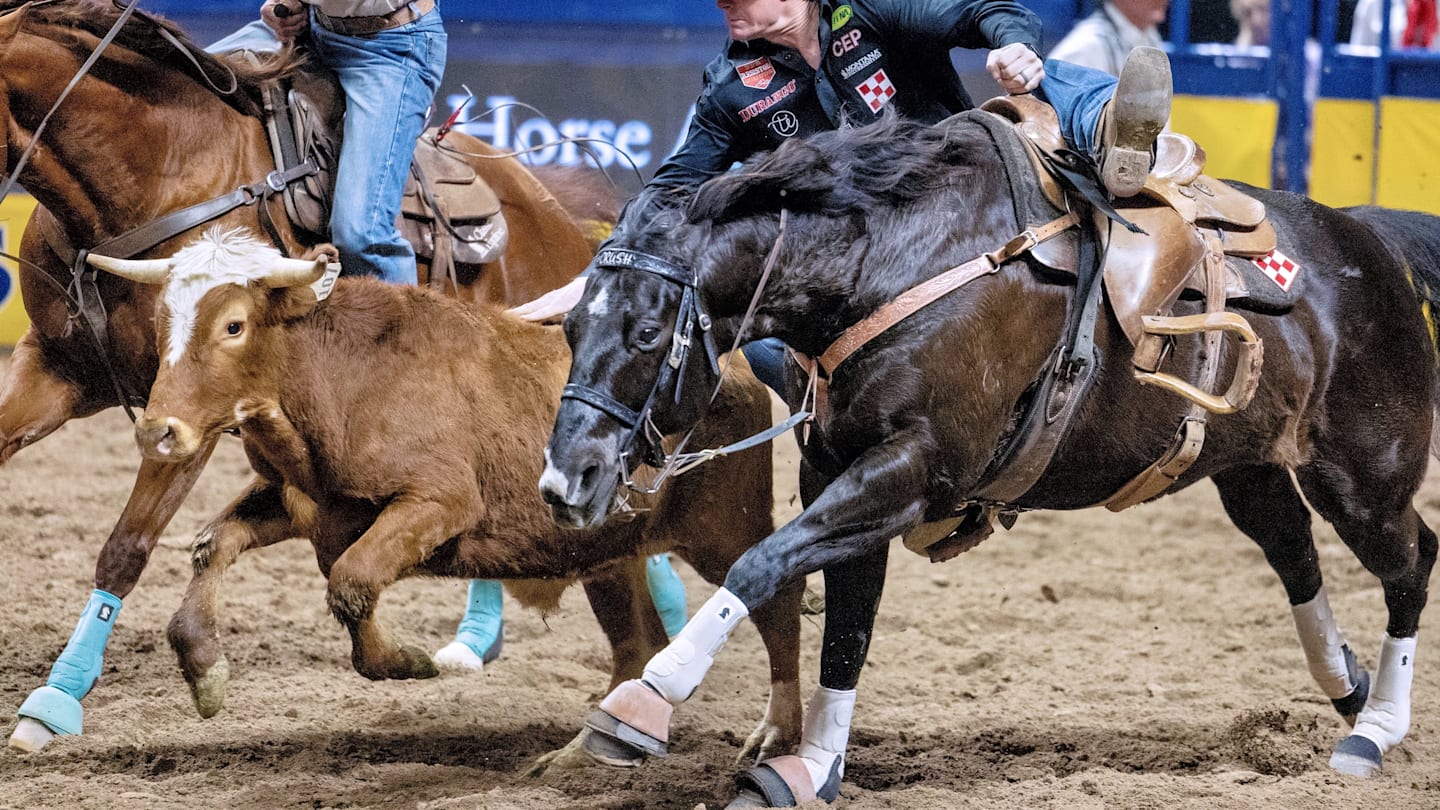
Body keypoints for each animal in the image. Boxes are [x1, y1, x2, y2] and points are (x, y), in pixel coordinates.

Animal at [0, 0, 608, 751]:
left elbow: (126, 547)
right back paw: (479, 637)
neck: (161, 175)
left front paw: (55, 701)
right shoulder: (55, 369)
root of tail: (554, 212)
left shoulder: (190, 418)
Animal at [539, 111, 1440, 806]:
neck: (897, 263)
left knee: (1410, 559)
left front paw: (642, 703)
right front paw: (814, 767)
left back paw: (1375, 730)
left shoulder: (912, 468)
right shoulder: (838, 473)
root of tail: (1369, 239)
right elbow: (847, 624)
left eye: (647, 332)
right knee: (1292, 551)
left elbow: (761, 565)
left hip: (1364, 475)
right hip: (1245, 469)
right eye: (572, 327)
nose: (565, 480)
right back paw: (1347, 685)